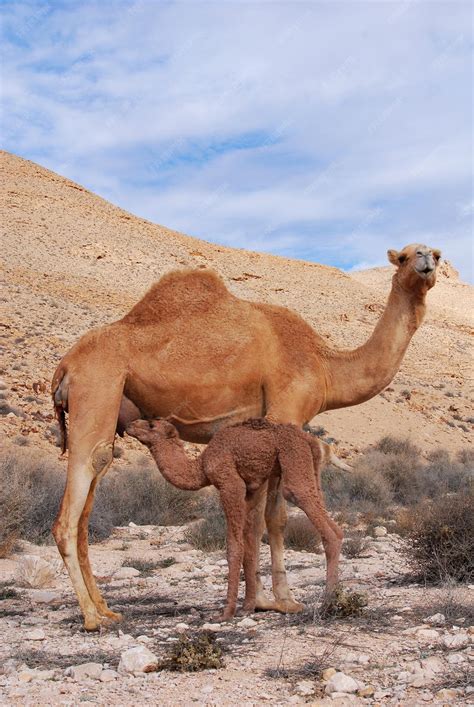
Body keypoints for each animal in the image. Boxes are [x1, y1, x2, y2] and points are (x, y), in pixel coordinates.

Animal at [126, 417, 343, 620]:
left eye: (151, 425)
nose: (129, 425)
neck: (201, 466)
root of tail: (309, 439)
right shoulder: (251, 490)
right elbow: (250, 546)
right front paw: (247, 607)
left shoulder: (230, 484)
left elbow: (234, 546)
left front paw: (226, 613)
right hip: (310, 470)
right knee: (335, 526)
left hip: (293, 460)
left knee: (320, 522)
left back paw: (327, 603)